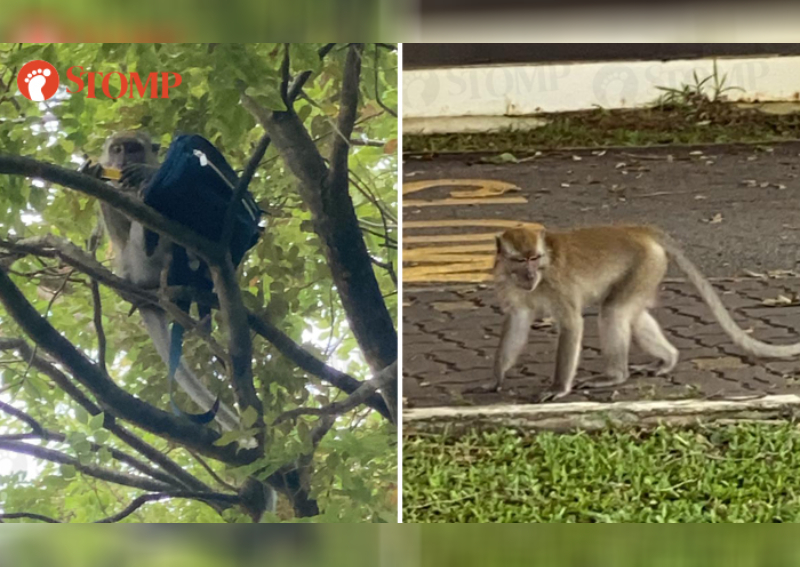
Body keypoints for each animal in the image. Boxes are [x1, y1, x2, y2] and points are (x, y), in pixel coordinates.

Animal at [491, 224, 800, 402]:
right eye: (519, 260)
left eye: (535, 258)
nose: (530, 274)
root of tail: (637, 230)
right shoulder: (511, 286)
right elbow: (518, 321)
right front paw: (497, 377)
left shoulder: (558, 286)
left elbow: (571, 325)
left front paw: (557, 387)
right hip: (649, 269)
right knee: (631, 315)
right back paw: (668, 359)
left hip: (646, 262)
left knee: (613, 312)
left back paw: (615, 376)